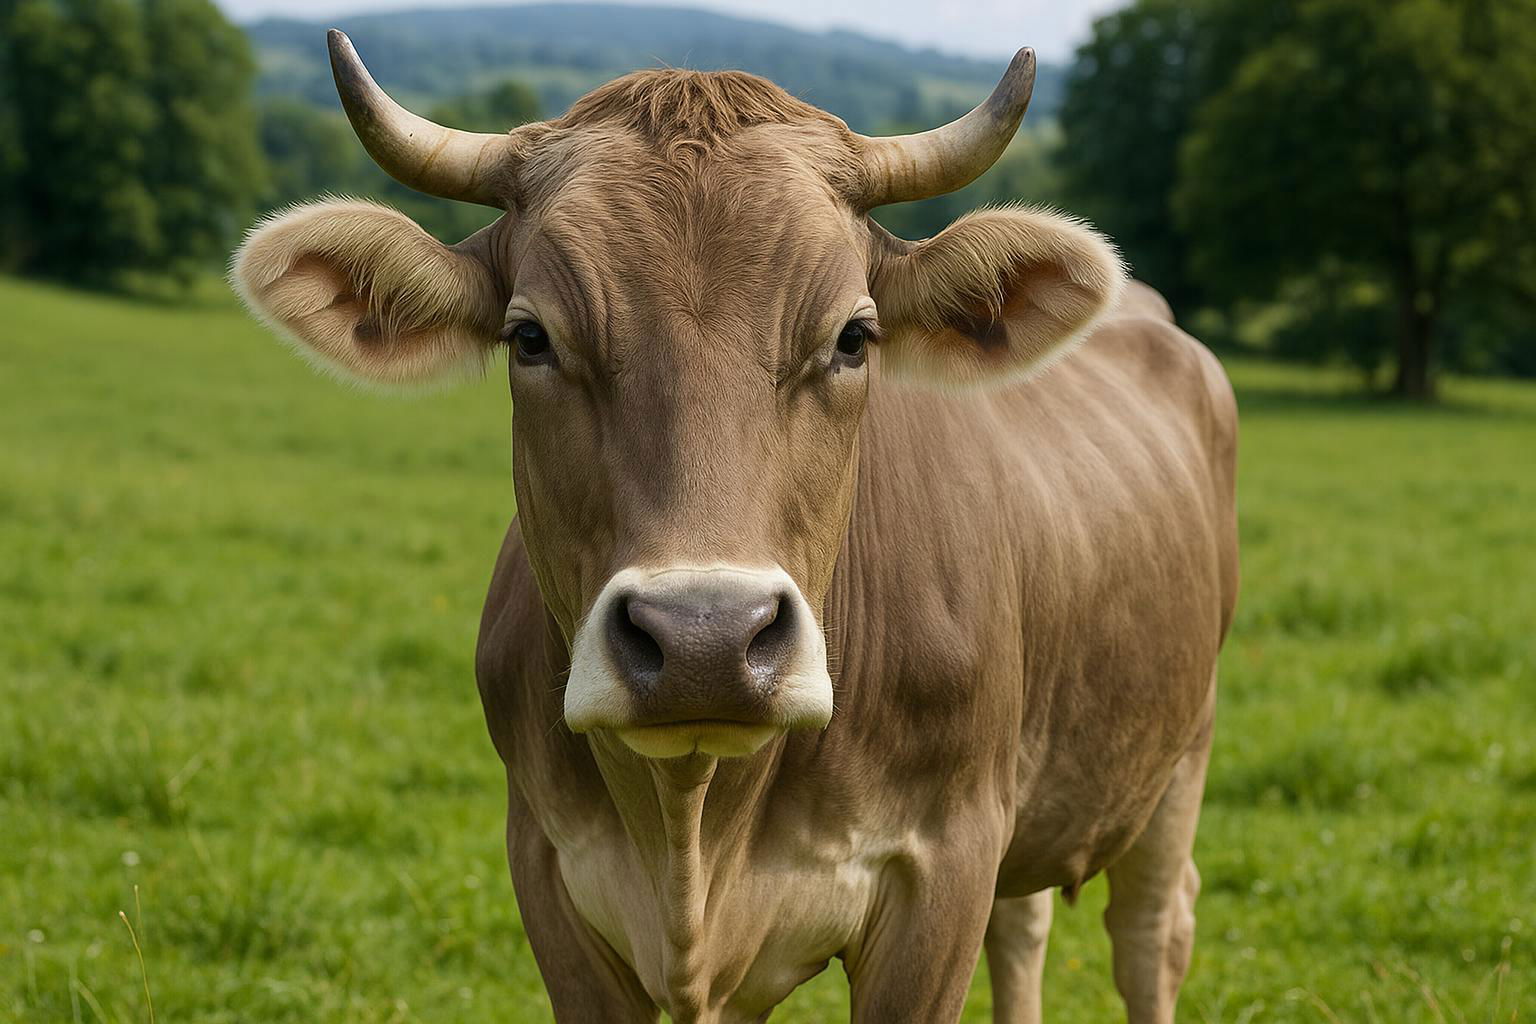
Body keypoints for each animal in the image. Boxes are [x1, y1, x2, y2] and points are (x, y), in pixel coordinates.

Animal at [232, 30, 1238, 1024]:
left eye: (853, 337)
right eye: (530, 338)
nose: (703, 642)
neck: (693, 834)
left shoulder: (944, 870)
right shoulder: (551, 877)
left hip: (1180, 749)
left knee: (1151, 932)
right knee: (1024, 926)